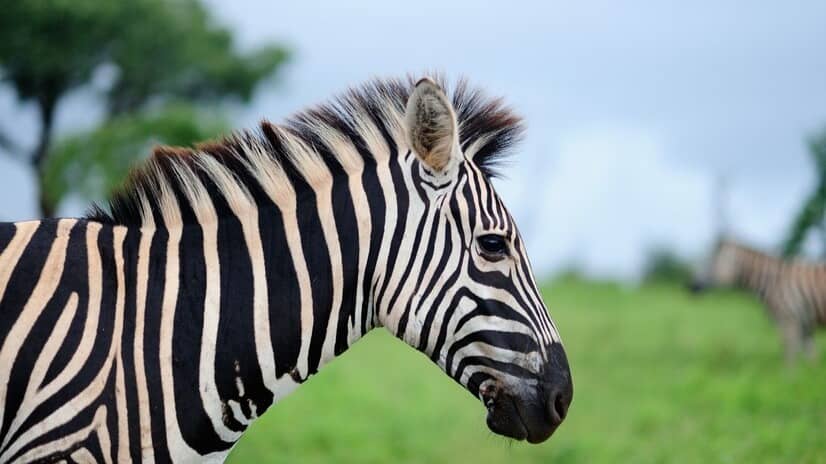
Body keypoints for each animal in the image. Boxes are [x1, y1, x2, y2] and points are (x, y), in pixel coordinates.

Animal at [691, 237, 826, 362]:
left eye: (708, 262)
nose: (690, 287)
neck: (772, 282)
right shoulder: (805, 324)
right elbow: (811, 358)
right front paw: (807, 372)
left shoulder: (788, 321)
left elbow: (790, 355)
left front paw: (788, 373)